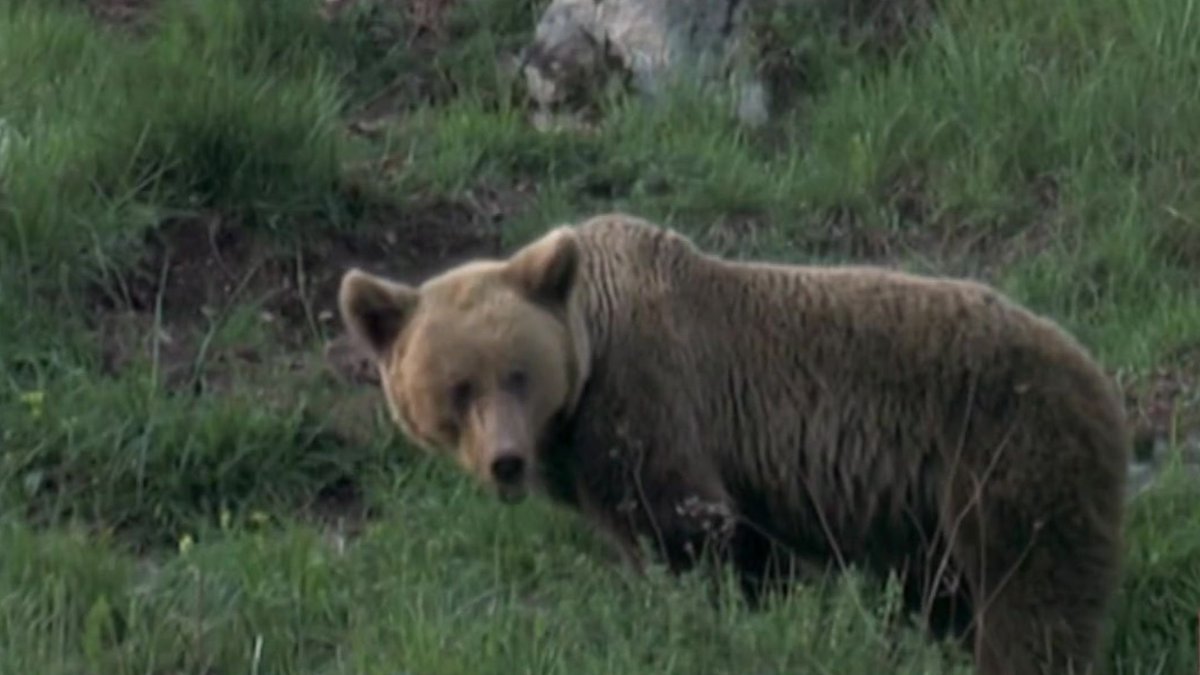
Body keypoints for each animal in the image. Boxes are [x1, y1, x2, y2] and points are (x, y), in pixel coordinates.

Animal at [337, 212, 1130, 675]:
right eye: (458, 388)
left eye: (518, 374)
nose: (506, 461)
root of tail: (1099, 377)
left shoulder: (649, 398)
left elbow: (692, 528)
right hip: (934, 507)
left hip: (1005, 453)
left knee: (1032, 597)